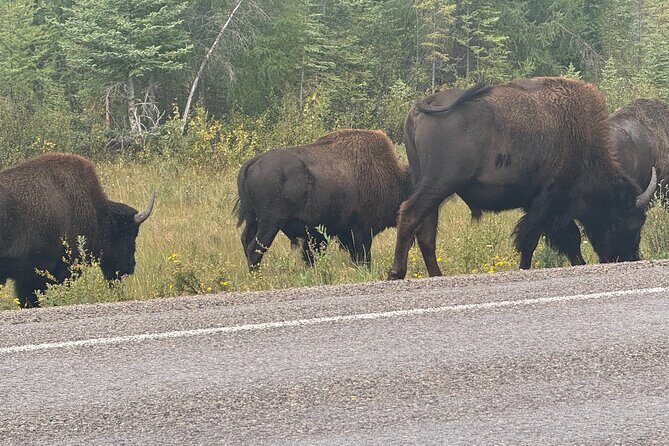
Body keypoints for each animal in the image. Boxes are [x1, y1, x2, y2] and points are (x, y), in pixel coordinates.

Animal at [235, 129, 412, 270]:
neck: (394, 177)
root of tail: (253, 162)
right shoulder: (361, 230)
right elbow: (363, 256)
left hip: (253, 220)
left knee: (245, 241)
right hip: (270, 223)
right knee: (254, 249)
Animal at [388, 77, 657, 280]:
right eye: (622, 220)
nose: (626, 258)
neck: (581, 142)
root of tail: (426, 103)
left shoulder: (540, 205)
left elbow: (554, 239)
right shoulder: (550, 202)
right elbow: (539, 238)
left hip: (430, 186)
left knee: (426, 230)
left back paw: (436, 274)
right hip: (439, 184)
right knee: (410, 214)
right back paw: (396, 273)